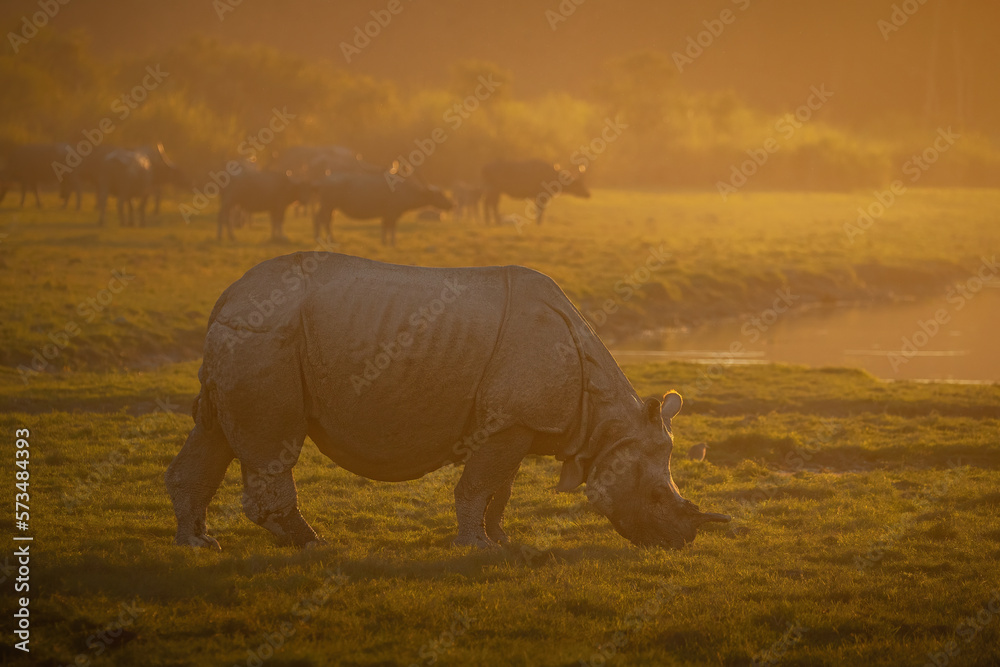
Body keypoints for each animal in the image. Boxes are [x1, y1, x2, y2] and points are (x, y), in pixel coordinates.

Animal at [165, 252, 729, 550]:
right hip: (267, 337)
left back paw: (199, 543)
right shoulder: (510, 421)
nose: (680, 543)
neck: (605, 426)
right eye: (654, 498)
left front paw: (501, 541)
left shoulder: (514, 424)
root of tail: (227, 297)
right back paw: (313, 543)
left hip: (247, 334)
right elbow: (480, 484)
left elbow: (500, 486)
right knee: (273, 443)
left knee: (213, 432)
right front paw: (477, 548)